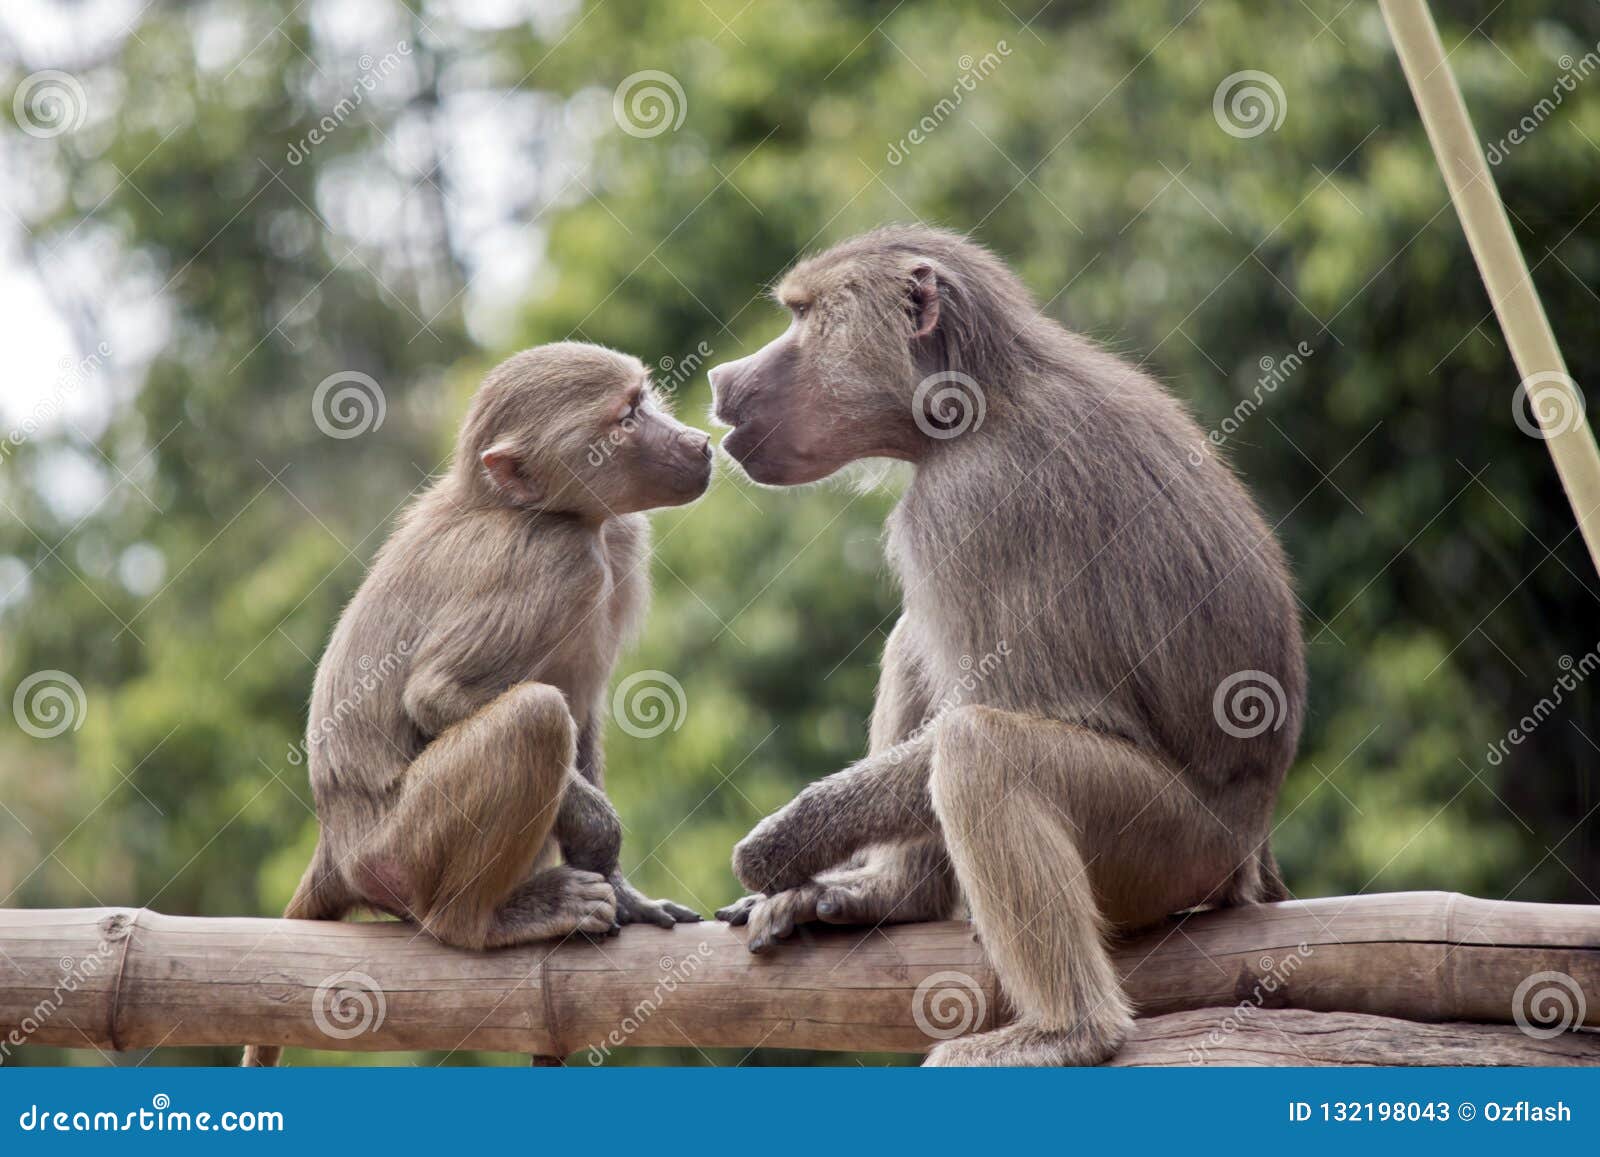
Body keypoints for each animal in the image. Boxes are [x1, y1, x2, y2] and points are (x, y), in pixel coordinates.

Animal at [243, 342, 709, 1067]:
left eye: (644, 399)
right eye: (627, 417)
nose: (700, 443)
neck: (538, 510)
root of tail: (336, 844)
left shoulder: (620, 540)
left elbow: (585, 716)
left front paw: (620, 885)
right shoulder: (558, 561)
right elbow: (440, 696)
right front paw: (601, 836)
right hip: (403, 847)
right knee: (533, 719)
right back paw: (481, 923)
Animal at [707, 225, 1305, 1067]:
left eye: (802, 316)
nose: (722, 379)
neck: (981, 402)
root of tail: (1250, 851)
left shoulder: (963, 506)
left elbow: (1028, 711)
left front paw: (785, 840)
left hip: (1170, 849)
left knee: (981, 748)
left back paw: (1067, 1031)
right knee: (918, 644)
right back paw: (893, 896)